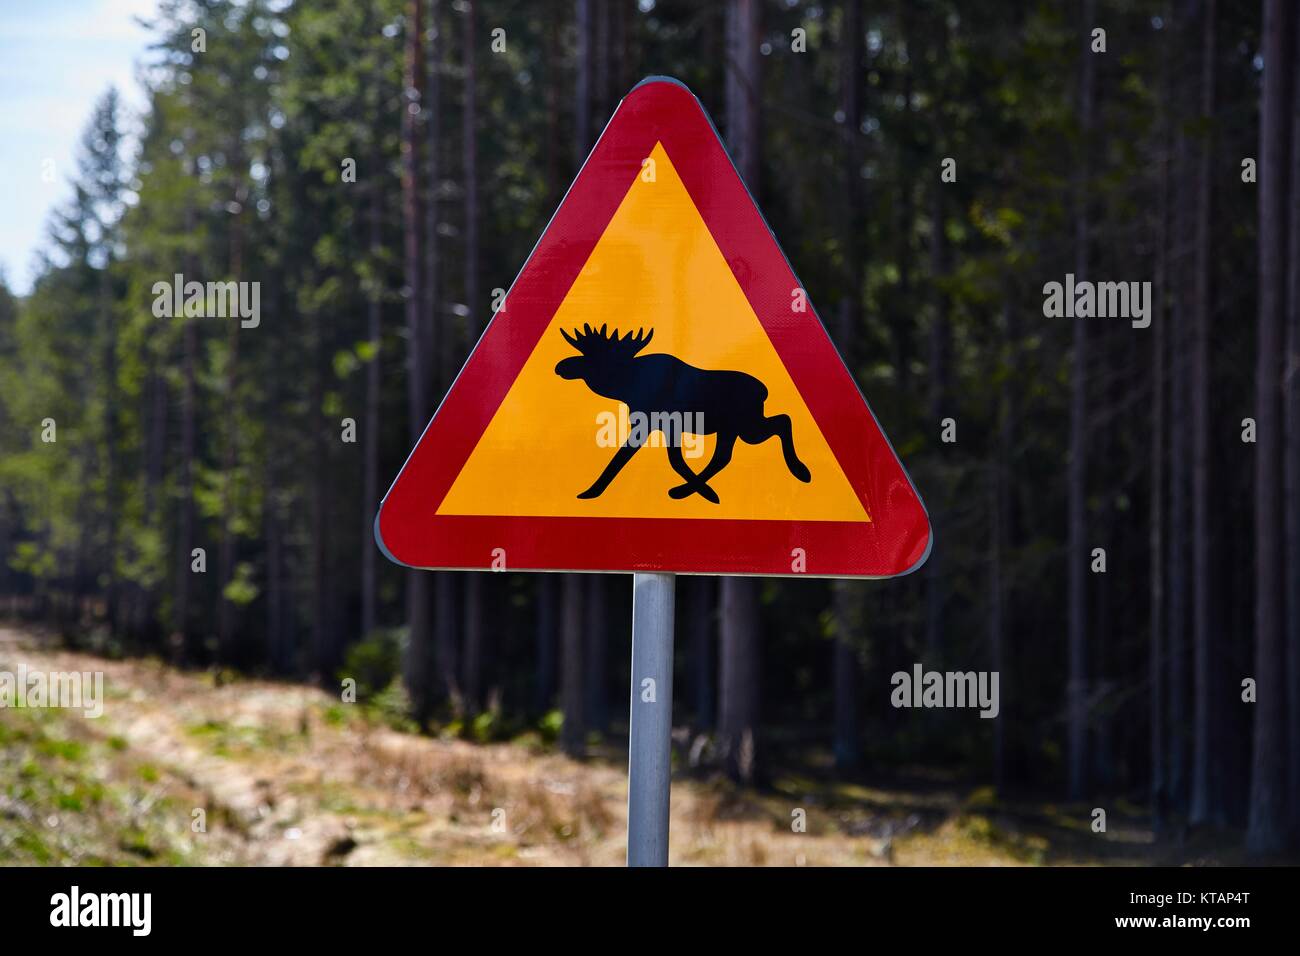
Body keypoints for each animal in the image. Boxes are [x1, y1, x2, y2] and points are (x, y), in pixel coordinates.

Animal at [554, 323, 812, 503]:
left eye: (595, 358)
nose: (560, 366)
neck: (627, 386)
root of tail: (763, 391)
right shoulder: (653, 425)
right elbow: (633, 457)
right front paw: (591, 491)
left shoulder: (664, 424)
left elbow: (659, 459)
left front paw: (591, 491)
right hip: (733, 428)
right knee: (724, 456)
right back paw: (686, 491)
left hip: (746, 426)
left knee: (783, 420)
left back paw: (800, 470)